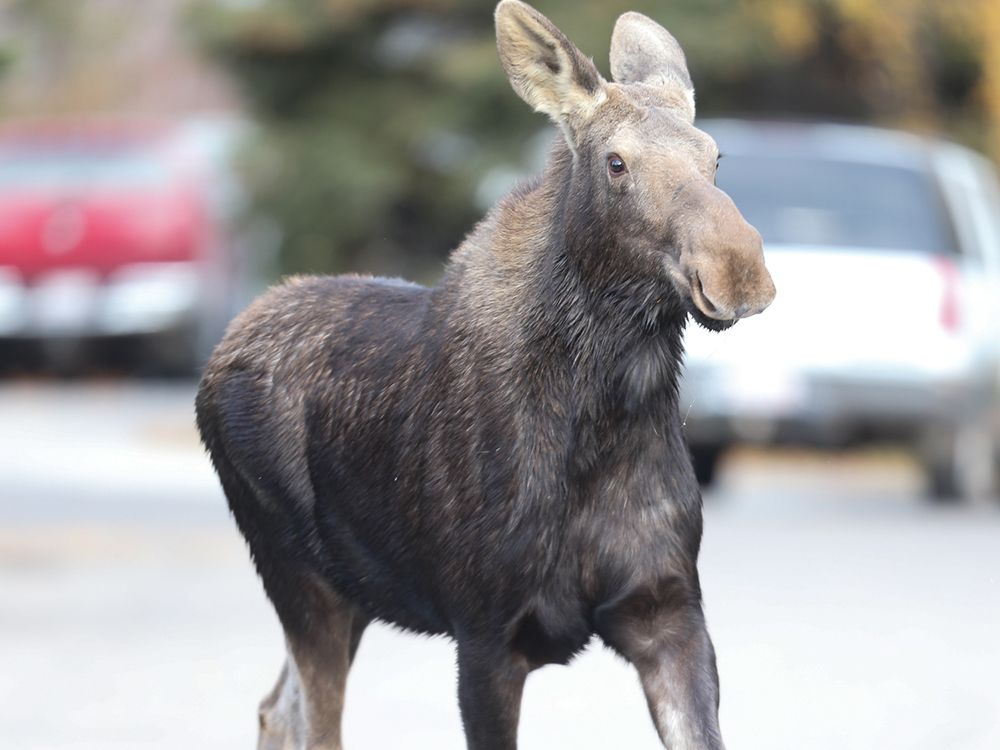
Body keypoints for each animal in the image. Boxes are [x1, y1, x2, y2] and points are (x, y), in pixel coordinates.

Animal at [196, 2, 775, 748]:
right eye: (616, 162)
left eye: (715, 157)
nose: (737, 268)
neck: (607, 421)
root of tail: (222, 350)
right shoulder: (486, 637)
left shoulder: (669, 613)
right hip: (297, 572)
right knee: (310, 717)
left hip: (350, 590)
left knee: (277, 707)